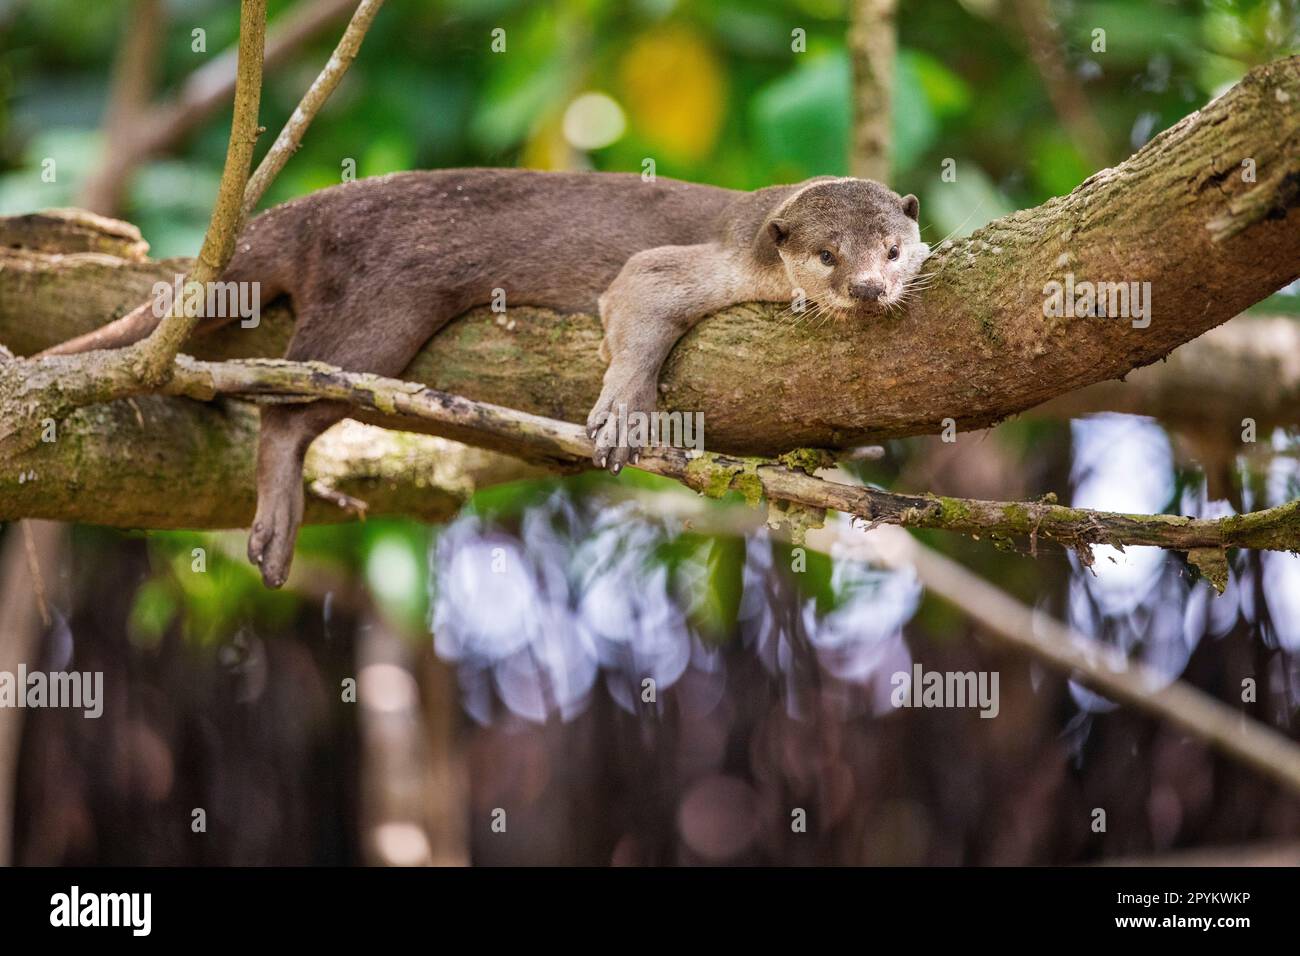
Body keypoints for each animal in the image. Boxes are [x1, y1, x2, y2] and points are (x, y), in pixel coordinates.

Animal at [44, 169, 930, 587]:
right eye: (827, 255)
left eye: (893, 250)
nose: (868, 288)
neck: (752, 229)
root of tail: (315, 206)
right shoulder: (696, 261)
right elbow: (636, 293)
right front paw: (620, 414)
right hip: (377, 313)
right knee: (288, 409)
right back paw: (273, 524)